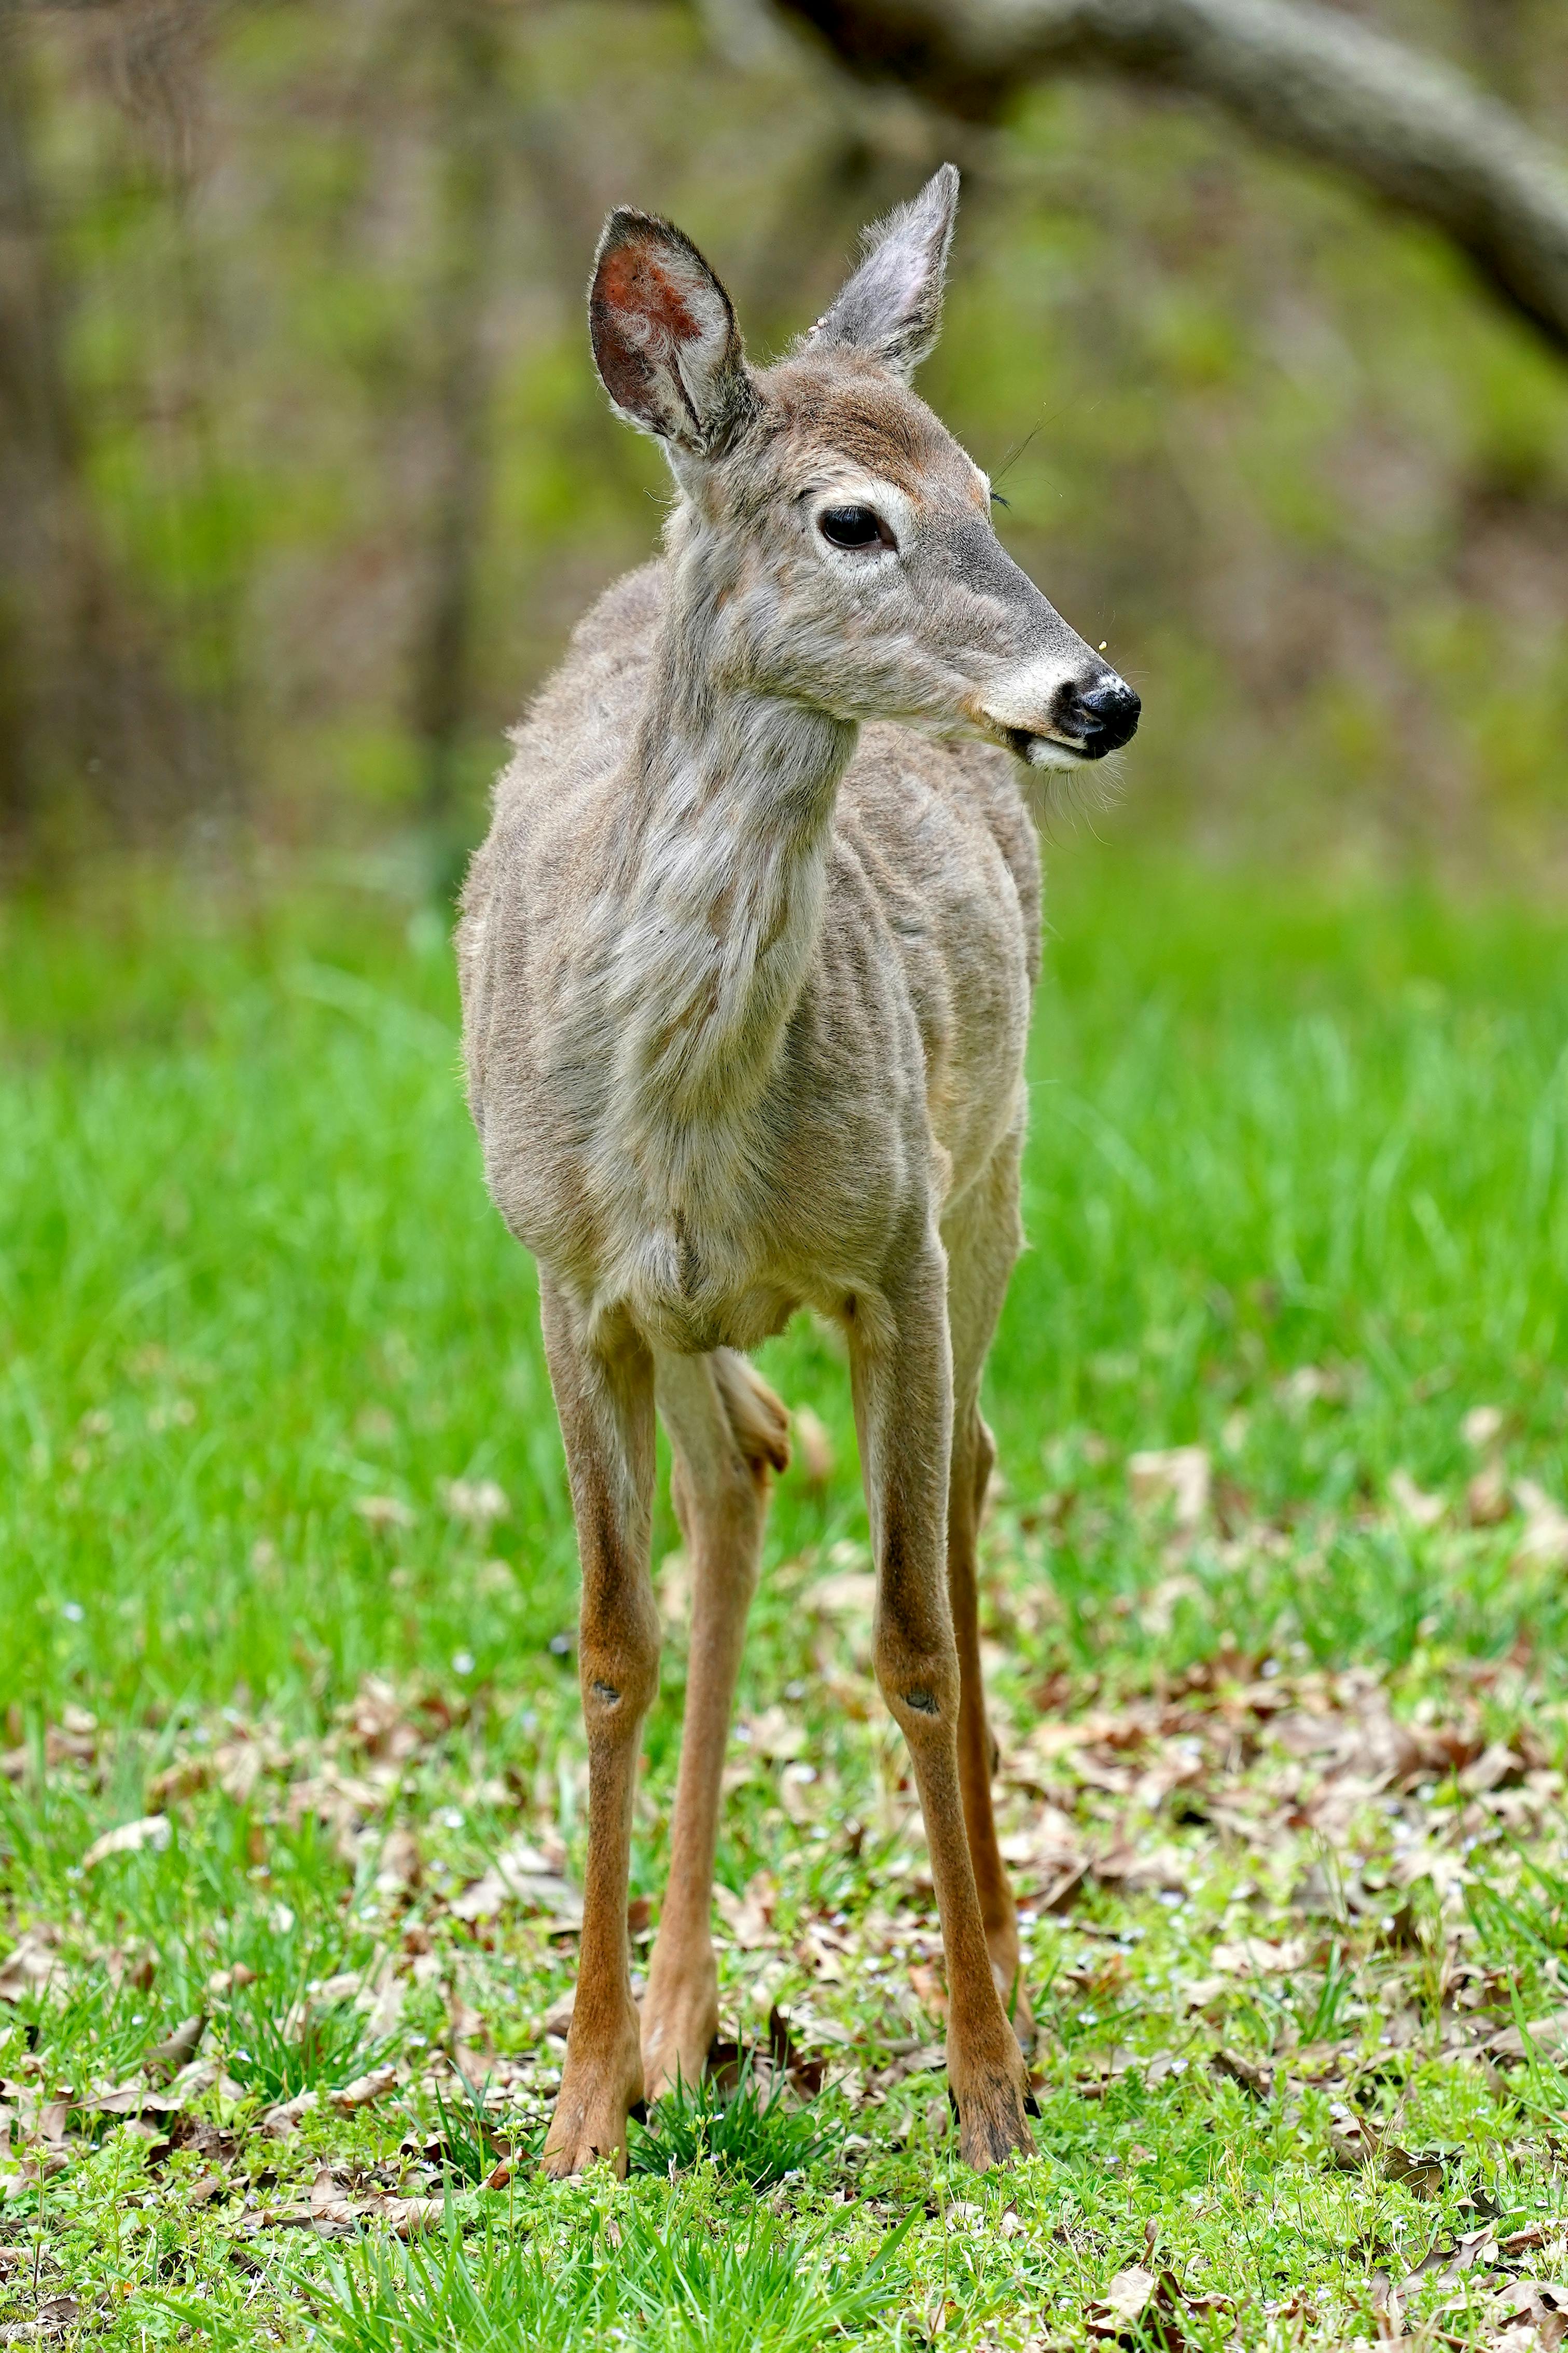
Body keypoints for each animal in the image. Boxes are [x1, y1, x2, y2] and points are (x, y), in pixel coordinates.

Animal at [456, 164, 1140, 2177]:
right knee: (745, 1466)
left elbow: (908, 1631)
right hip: (703, 1316)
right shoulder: (570, 1277)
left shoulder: (889, 1244)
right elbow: (608, 1643)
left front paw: (986, 2084)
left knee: (964, 1477)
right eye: (854, 517)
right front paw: (581, 2103)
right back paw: (680, 2019)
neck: (686, 1107)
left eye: (986, 487)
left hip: (990, 1176)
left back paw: (998, 1984)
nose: (1095, 695)